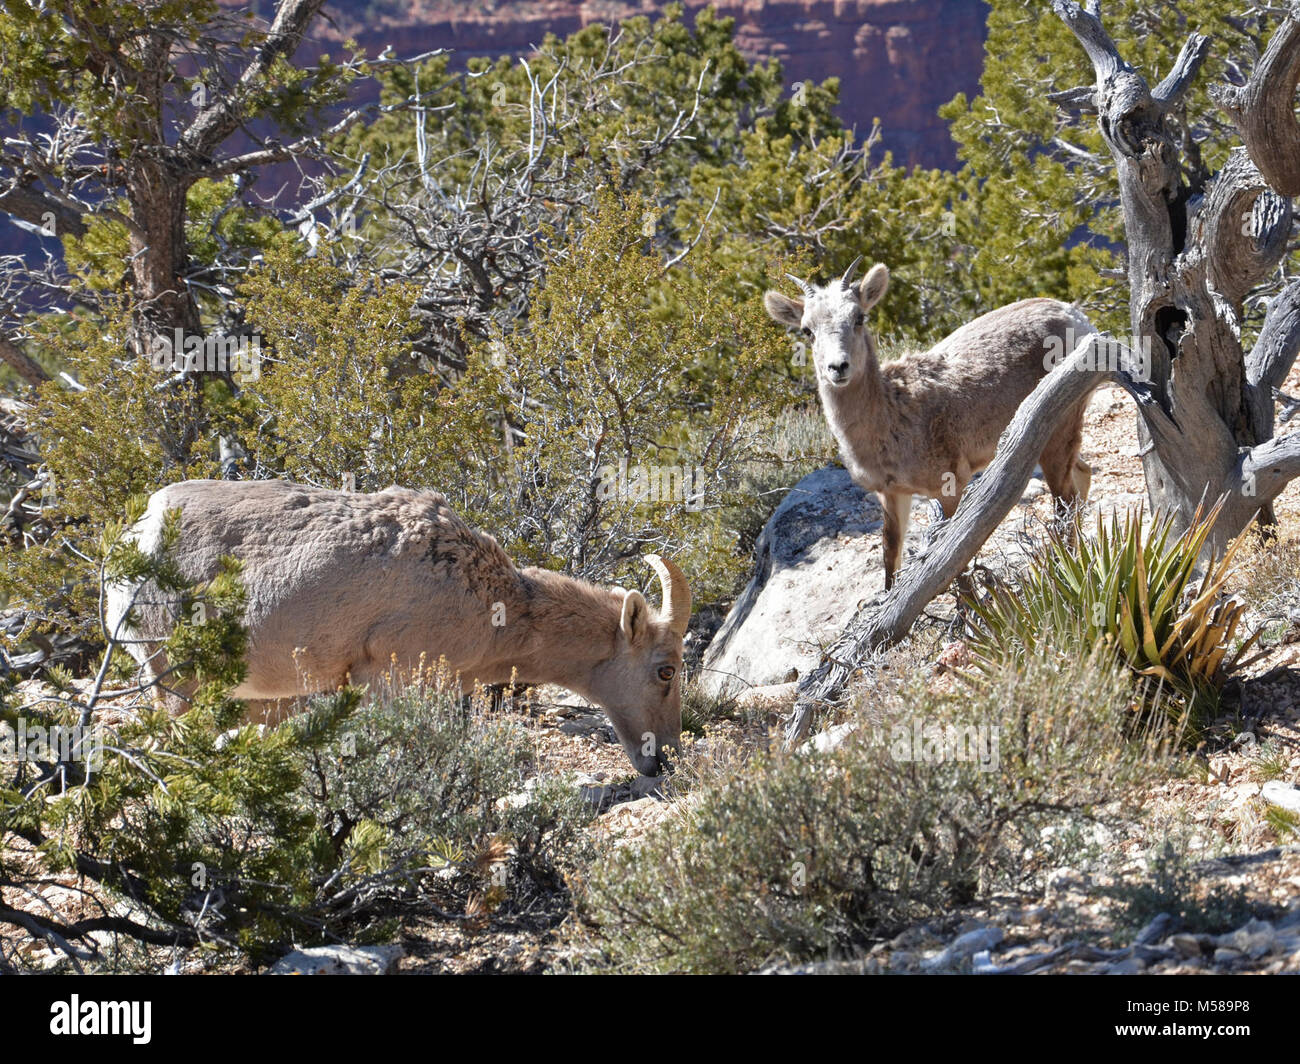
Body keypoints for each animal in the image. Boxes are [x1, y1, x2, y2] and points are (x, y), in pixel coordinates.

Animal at [104, 479, 691, 776]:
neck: (492, 604)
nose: (663, 758)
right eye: (666, 670)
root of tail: (133, 538)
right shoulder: (385, 680)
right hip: (175, 683)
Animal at [765, 260, 1097, 589]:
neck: (891, 420)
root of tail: (1080, 319)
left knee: (1065, 501)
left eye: (859, 317)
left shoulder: (950, 483)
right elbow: (890, 554)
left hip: (1060, 424)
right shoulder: (890, 492)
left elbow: (950, 563)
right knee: (1083, 475)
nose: (838, 367)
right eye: (807, 330)